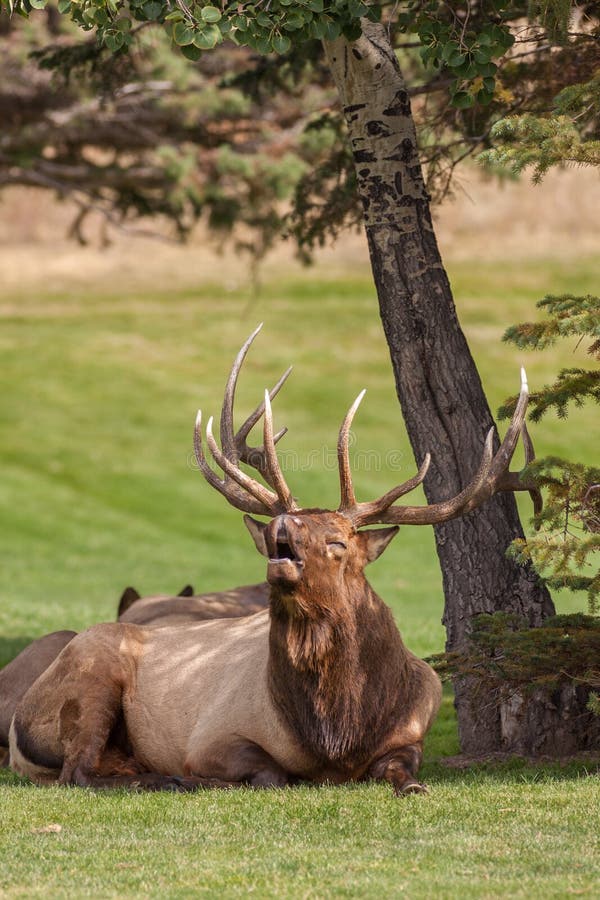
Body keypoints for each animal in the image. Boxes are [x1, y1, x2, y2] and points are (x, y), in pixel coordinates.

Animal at [8, 325, 539, 795]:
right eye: (275, 528)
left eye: (338, 541)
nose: (281, 524)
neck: (338, 735)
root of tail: (15, 728)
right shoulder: (211, 737)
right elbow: (271, 773)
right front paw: (200, 779)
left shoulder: (412, 735)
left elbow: (406, 775)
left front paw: (412, 787)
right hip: (89, 679)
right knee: (78, 771)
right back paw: (162, 779)